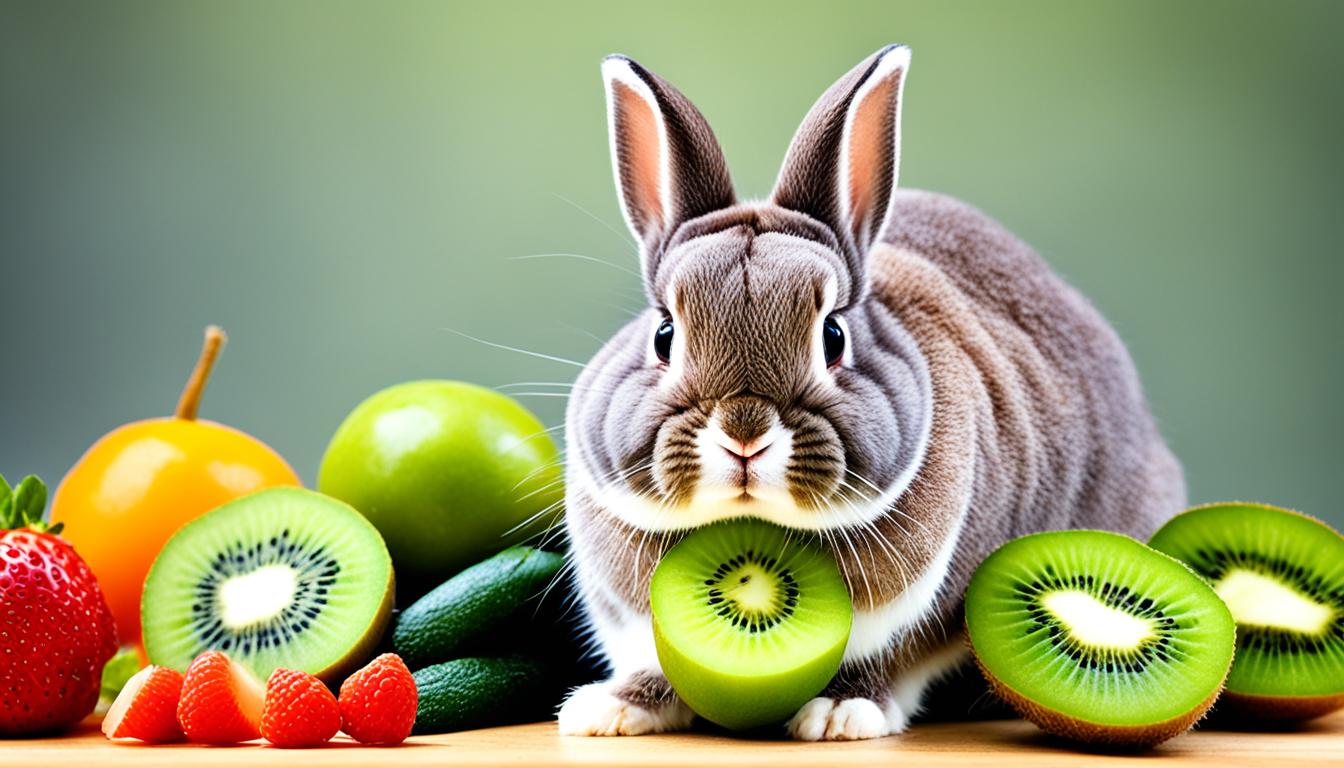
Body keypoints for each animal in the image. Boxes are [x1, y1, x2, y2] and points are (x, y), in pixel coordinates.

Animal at [557, 45, 1185, 741]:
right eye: (664, 334)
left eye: (833, 335)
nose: (744, 433)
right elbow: (657, 665)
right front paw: (610, 710)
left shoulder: (931, 606)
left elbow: (891, 658)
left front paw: (838, 715)